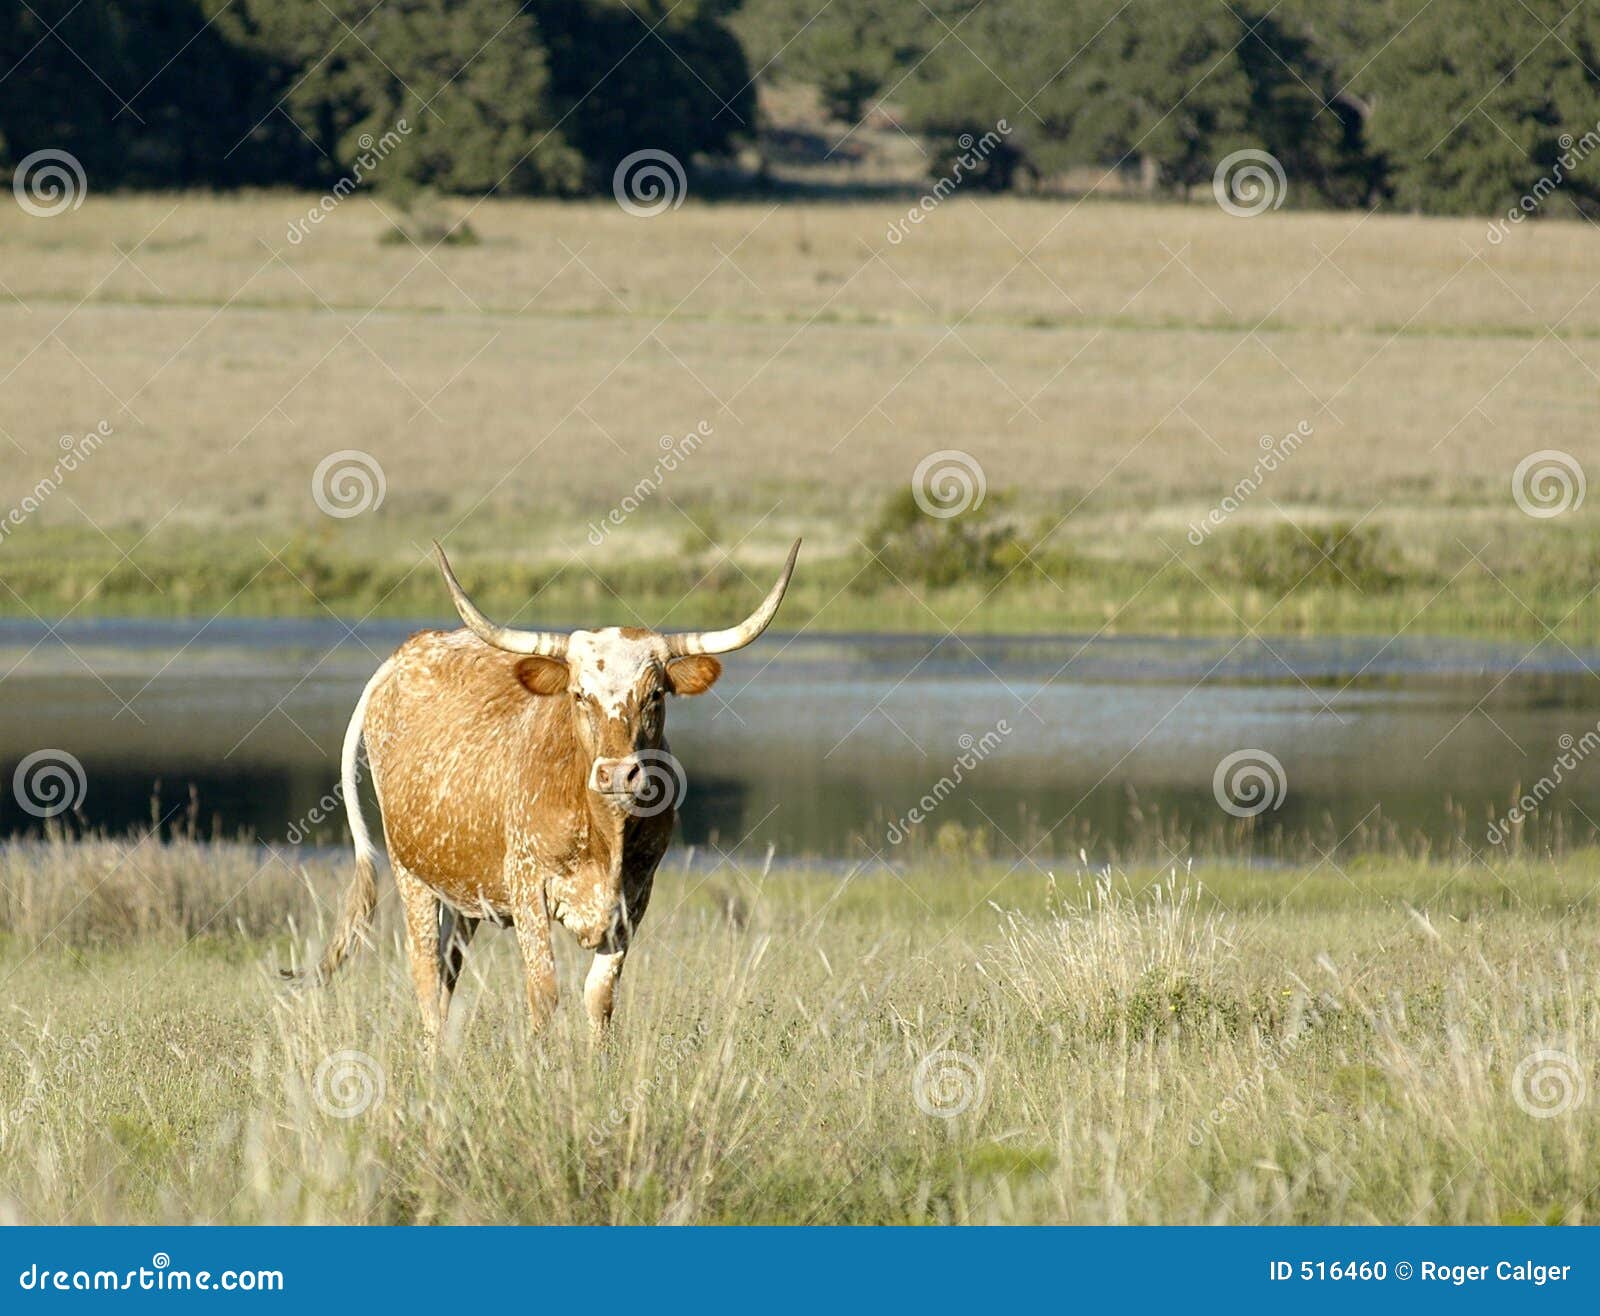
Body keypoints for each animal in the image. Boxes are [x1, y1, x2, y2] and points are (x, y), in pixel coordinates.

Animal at [291, 538, 800, 1042]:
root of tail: (412, 647)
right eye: (579, 694)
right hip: (410, 870)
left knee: (448, 969)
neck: (605, 833)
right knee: (427, 975)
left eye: (655, 694)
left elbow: (600, 997)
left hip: (462, 888)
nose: (618, 775)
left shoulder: (635, 896)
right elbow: (544, 994)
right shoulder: (527, 886)